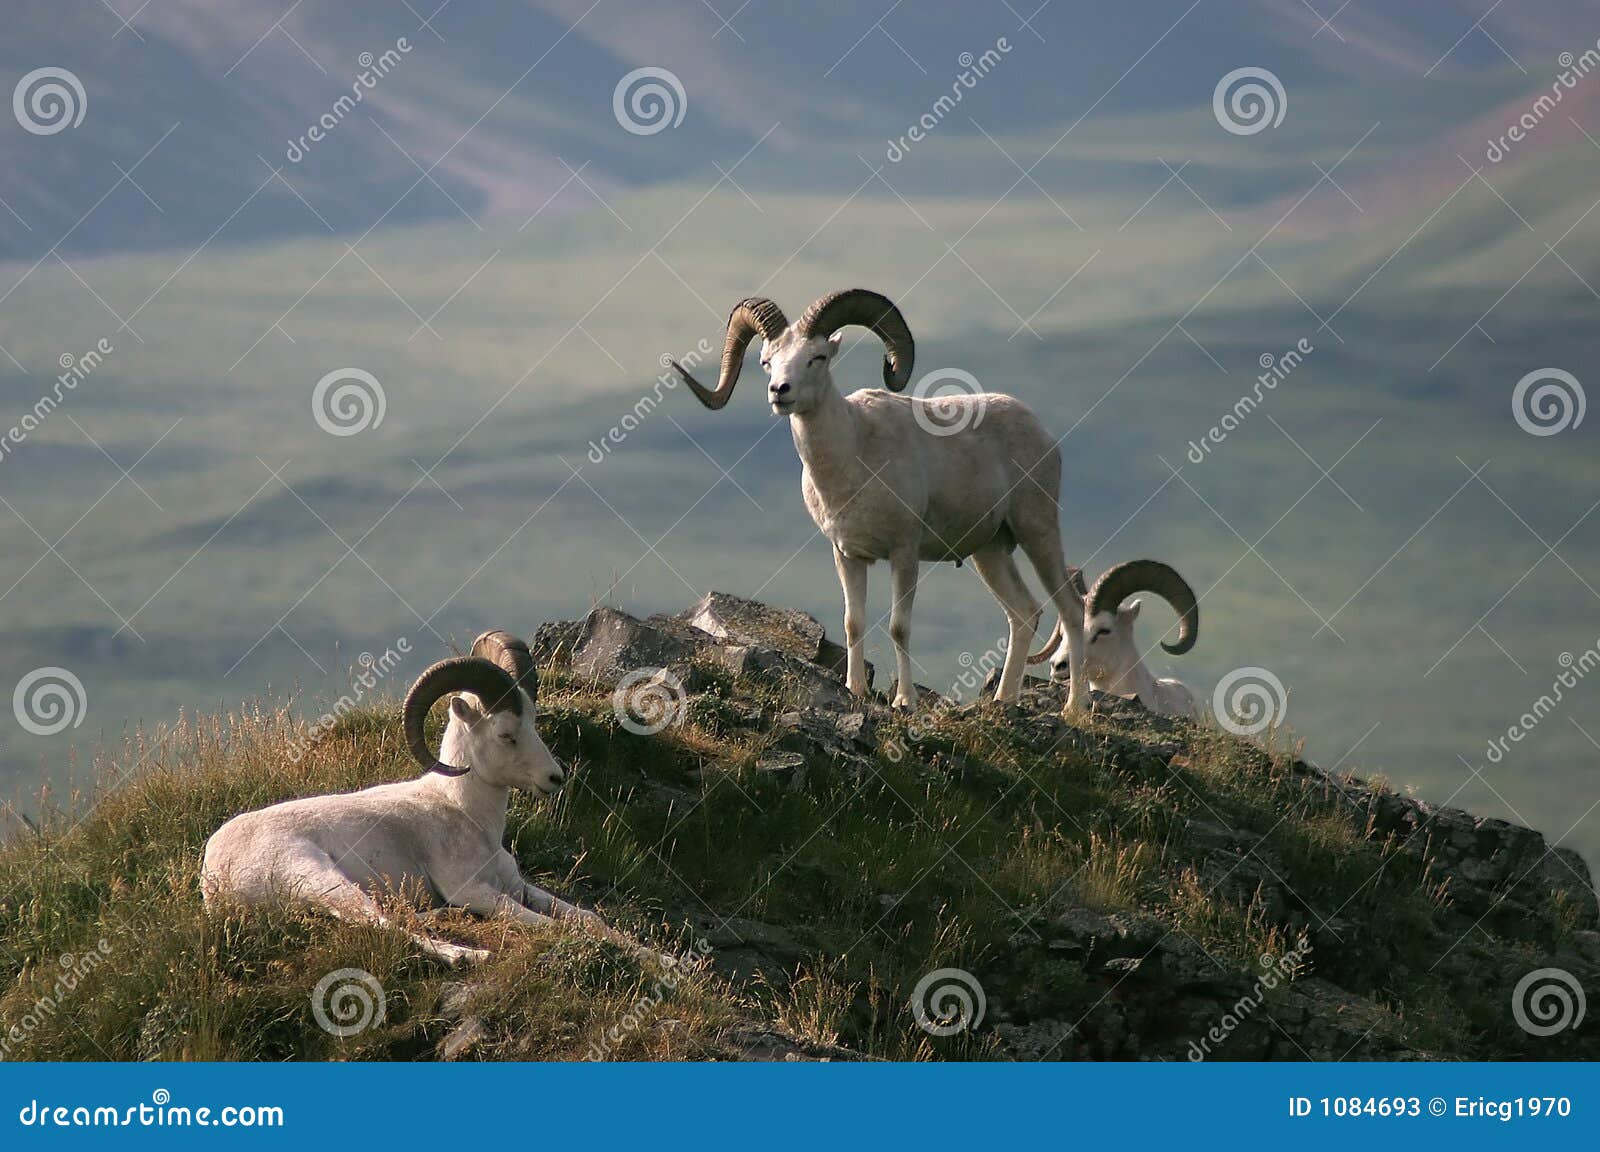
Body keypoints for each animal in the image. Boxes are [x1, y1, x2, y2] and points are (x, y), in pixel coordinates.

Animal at [200, 631, 604, 965]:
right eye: (506, 734)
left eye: (533, 721)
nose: (554, 778)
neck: (463, 811)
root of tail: (214, 873)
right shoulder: (472, 889)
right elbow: (548, 924)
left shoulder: (517, 885)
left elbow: (588, 918)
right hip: (319, 877)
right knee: (380, 923)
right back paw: (466, 955)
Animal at [671, 289, 1090, 713]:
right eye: (767, 361)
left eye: (817, 357)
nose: (780, 392)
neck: (853, 457)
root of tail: (1042, 432)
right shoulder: (849, 556)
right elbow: (853, 622)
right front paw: (854, 689)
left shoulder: (903, 553)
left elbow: (898, 627)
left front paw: (904, 701)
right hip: (989, 552)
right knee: (1024, 614)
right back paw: (1002, 701)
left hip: (1037, 531)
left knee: (1070, 610)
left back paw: (1074, 709)